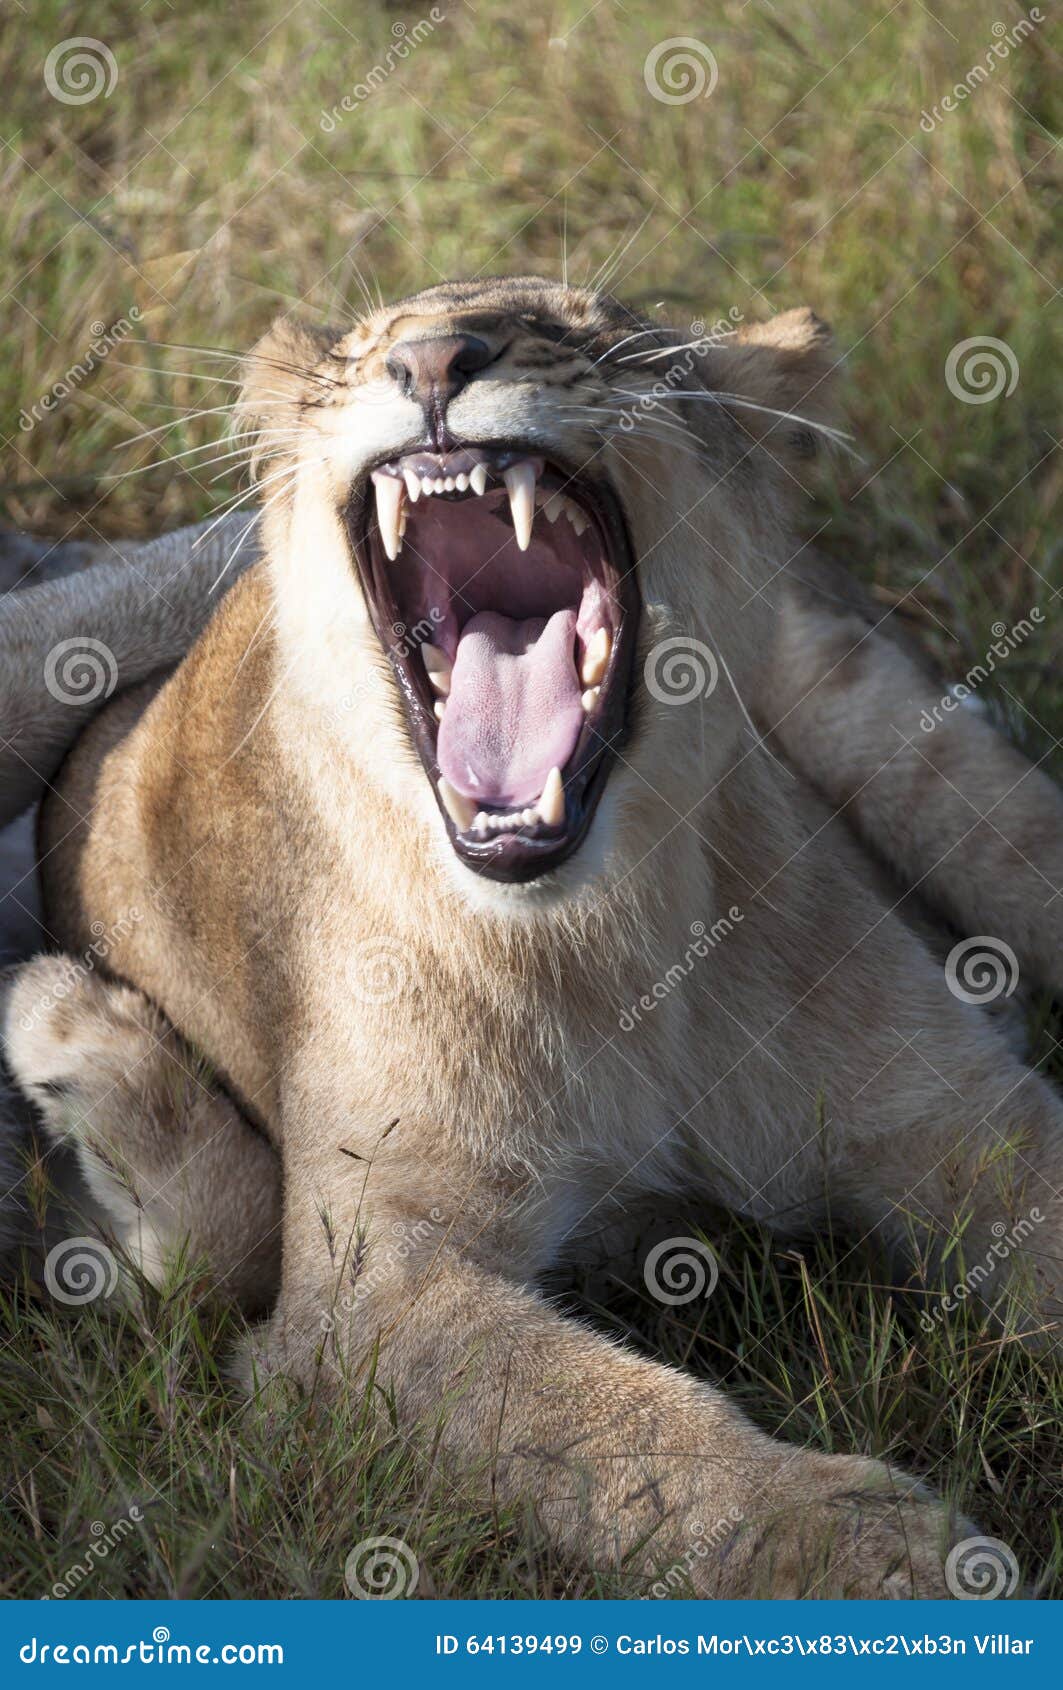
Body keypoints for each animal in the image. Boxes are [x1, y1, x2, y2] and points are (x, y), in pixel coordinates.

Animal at [3, 275, 1062, 1598]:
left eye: (594, 332)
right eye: (360, 349)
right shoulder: (362, 1301)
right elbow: (622, 1427)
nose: (431, 360)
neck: (615, 941)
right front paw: (877, 1552)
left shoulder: (963, 1121)